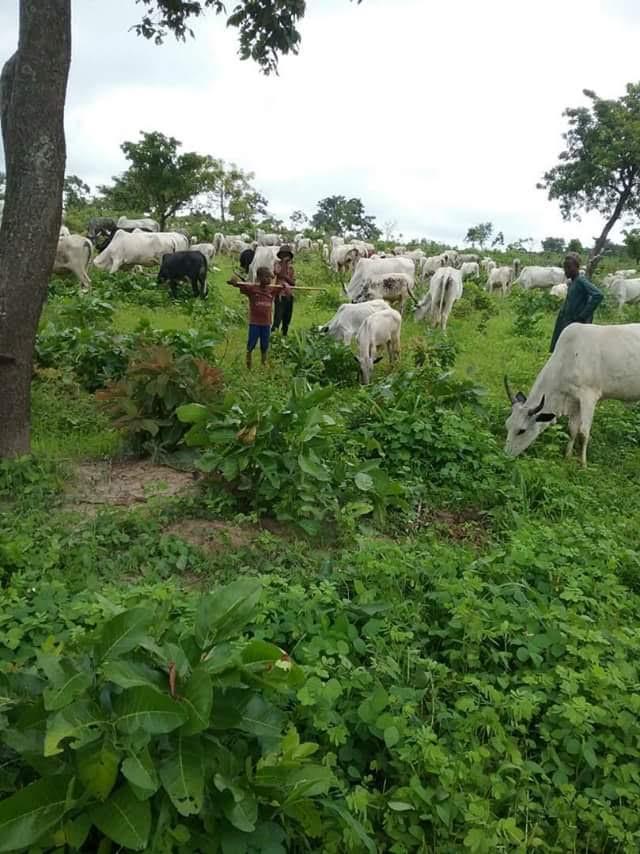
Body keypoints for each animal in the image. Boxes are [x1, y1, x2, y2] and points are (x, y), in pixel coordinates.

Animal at [504, 323, 640, 466]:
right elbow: (572, 429)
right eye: (507, 424)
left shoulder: (589, 397)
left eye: (521, 431)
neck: (567, 359)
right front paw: (568, 457)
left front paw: (583, 464)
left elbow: (583, 432)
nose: (505, 456)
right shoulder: (574, 400)